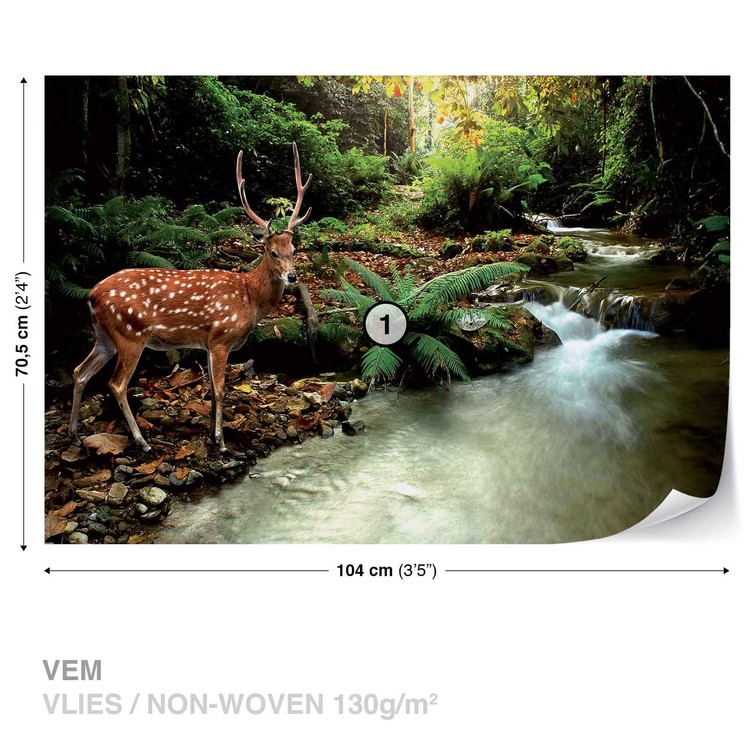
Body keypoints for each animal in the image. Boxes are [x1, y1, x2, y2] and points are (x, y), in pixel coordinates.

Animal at [68, 143, 312, 454]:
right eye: (272, 252)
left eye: (293, 250)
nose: (292, 277)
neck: (249, 297)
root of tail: (91, 295)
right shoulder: (221, 337)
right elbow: (220, 390)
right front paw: (221, 442)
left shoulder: (207, 342)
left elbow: (210, 387)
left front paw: (211, 434)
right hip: (130, 334)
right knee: (116, 384)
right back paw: (143, 442)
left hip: (104, 337)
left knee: (80, 371)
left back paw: (75, 434)